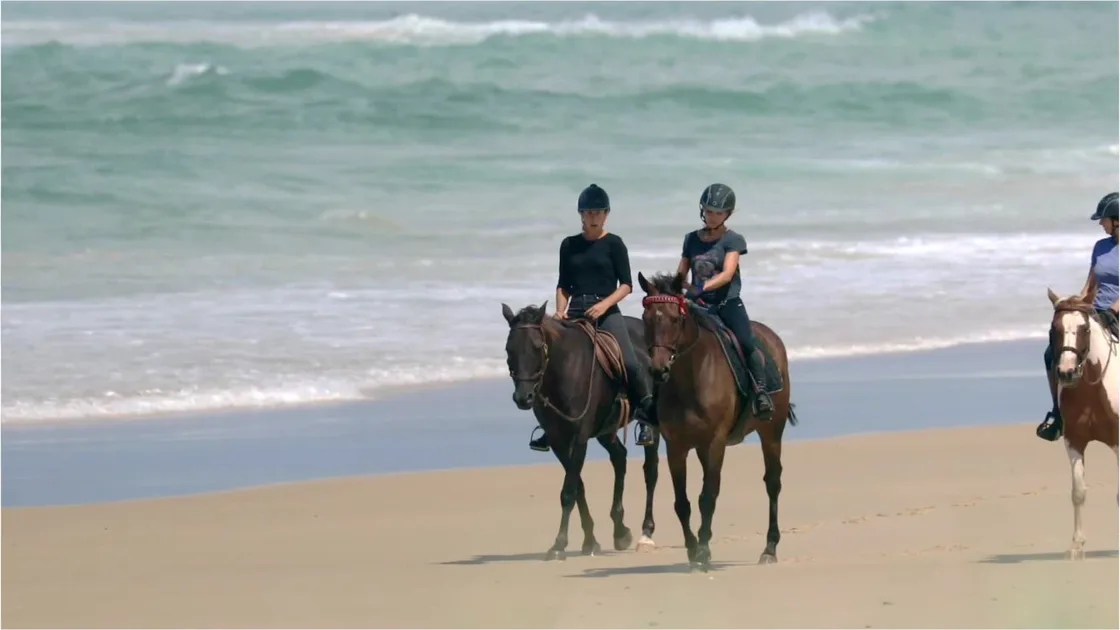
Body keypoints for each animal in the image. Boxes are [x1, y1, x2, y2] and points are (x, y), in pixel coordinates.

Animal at [501, 301, 662, 561]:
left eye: (536, 346)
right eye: (509, 349)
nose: (523, 398)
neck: (562, 371)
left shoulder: (579, 437)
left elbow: (569, 490)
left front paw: (559, 544)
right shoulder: (558, 440)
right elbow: (577, 487)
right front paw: (590, 541)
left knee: (651, 472)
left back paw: (645, 533)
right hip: (606, 430)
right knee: (620, 457)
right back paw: (620, 530)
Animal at [636, 272, 798, 572]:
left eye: (675, 319)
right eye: (646, 318)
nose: (659, 369)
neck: (690, 378)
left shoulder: (715, 443)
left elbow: (708, 497)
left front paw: (701, 551)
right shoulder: (676, 446)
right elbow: (683, 503)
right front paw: (693, 550)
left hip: (771, 431)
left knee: (772, 482)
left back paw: (769, 548)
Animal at [1045, 288, 1119, 560]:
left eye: (1084, 328)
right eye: (1054, 328)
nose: (1066, 372)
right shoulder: (1074, 441)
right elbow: (1078, 492)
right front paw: (1076, 546)